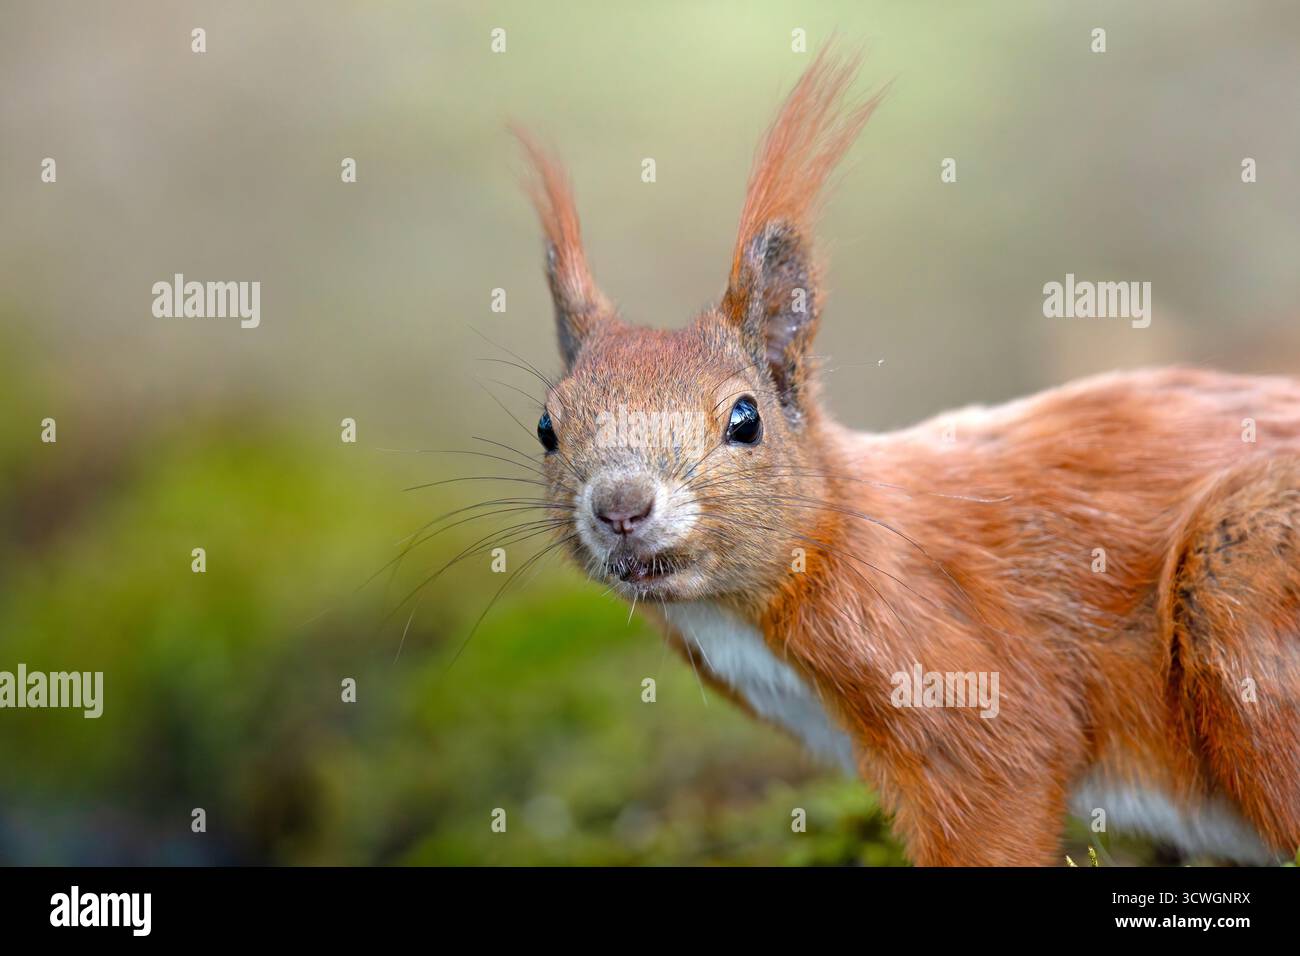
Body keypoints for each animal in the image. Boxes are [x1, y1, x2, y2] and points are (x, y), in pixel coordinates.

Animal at [511, 48, 1300, 866]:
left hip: (1244, 572)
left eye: (745, 419)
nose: (620, 507)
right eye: (546, 427)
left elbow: (1002, 788)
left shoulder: (960, 678)